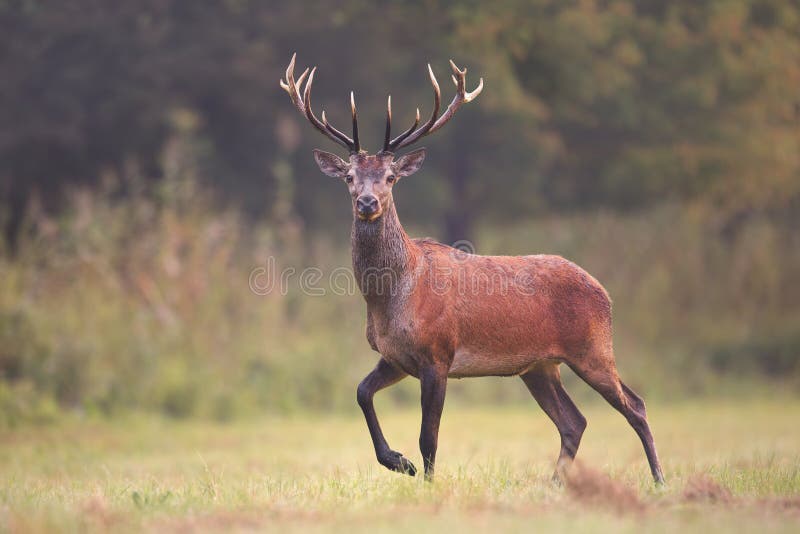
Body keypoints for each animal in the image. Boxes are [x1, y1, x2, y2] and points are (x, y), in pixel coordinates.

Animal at [280, 53, 665, 485]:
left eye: (390, 177)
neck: (392, 298)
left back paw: (658, 478)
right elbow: (362, 392)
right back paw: (554, 484)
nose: (366, 202)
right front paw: (398, 462)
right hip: (539, 366)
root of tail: (604, 291)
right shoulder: (396, 356)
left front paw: (427, 481)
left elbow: (428, 435)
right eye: (349, 176)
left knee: (636, 405)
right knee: (574, 421)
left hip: (593, 349)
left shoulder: (438, 353)